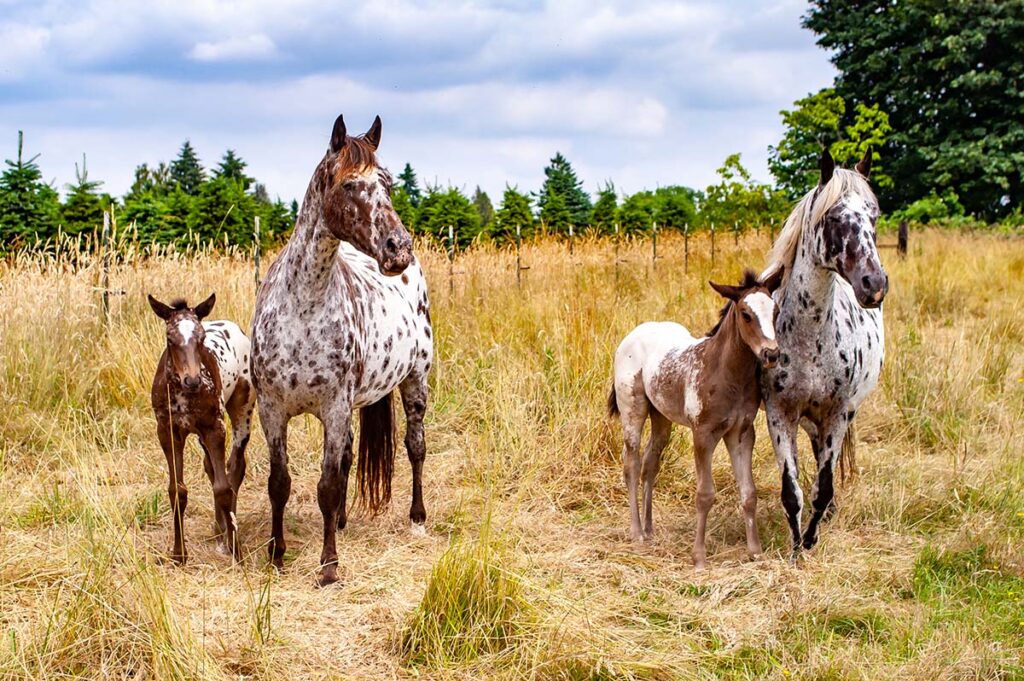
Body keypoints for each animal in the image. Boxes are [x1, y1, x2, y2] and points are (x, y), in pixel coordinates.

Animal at [148, 293, 256, 564]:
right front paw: (179, 554)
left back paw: (229, 531)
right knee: (210, 467)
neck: (183, 394)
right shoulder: (168, 432)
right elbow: (177, 490)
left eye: (201, 338)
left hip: (243, 411)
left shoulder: (214, 428)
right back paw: (220, 527)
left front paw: (236, 550)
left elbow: (223, 487)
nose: (193, 380)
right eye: (170, 338)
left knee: (235, 468)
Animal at [251, 114, 432, 587]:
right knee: (351, 456)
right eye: (350, 184)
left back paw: (417, 518)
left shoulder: (333, 408)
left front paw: (329, 566)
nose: (399, 249)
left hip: (416, 381)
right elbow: (280, 482)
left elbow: (327, 486)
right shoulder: (271, 409)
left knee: (415, 446)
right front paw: (276, 554)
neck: (303, 306)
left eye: (388, 182)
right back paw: (345, 521)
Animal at [608, 268, 784, 569]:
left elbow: (749, 492)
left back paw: (649, 529)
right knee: (631, 463)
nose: (771, 354)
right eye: (746, 314)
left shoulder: (742, 433)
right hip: (633, 409)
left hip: (661, 416)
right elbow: (705, 494)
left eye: (775, 311)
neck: (727, 373)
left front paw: (755, 551)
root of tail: (633, 334)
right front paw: (699, 557)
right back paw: (637, 532)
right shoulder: (703, 433)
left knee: (650, 464)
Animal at [760, 148, 888, 556]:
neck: (811, 339)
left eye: (874, 215)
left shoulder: (837, 413)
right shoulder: (780, 414)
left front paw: (811, 539)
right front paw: (795, 549)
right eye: (833, 217)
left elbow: (824, 485)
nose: (875, 284)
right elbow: (792, 491)